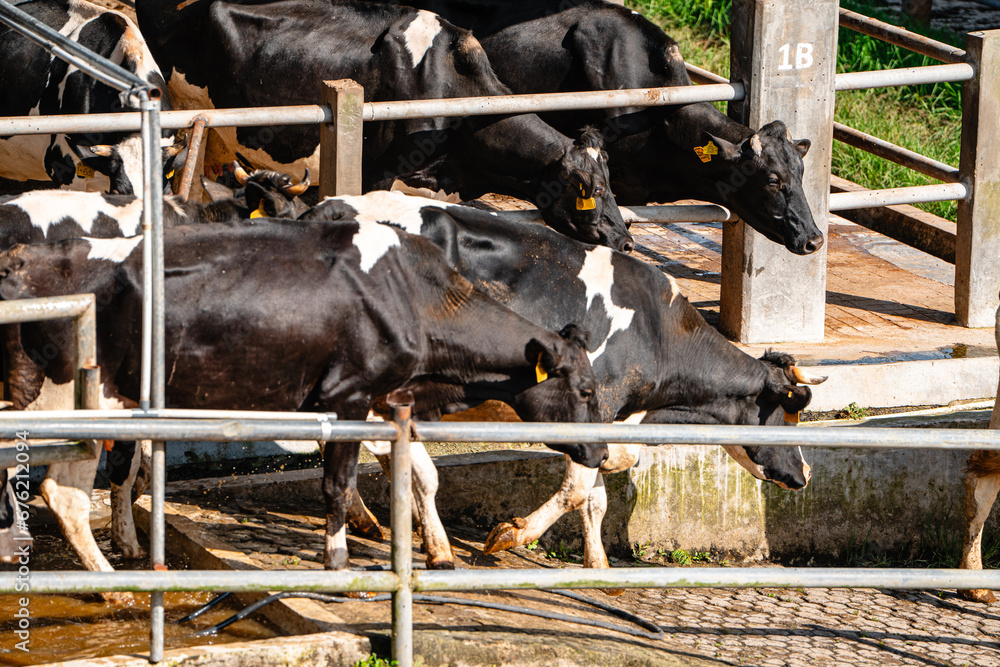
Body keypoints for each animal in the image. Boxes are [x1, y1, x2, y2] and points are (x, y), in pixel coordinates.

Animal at [0, 218, 600, 600]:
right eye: (587, 391)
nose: (599, 454)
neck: (412, 294)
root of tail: (26, 256)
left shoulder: (384, 400)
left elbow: (419, 474)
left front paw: (437, 552)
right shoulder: (347, 396)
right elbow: (336, 486)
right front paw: (339, 564)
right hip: (70, 403)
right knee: (63, 495)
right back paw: (114, 590)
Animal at [300, 190, 826, 576]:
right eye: (791, 411)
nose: (805, 473)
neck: (657, 332)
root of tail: (329, 207)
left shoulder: (613, 421)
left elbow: (595, 498)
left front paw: (597, 566)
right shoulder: (598, 407)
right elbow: (576, 491)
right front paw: (510, 535)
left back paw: (370, 519)